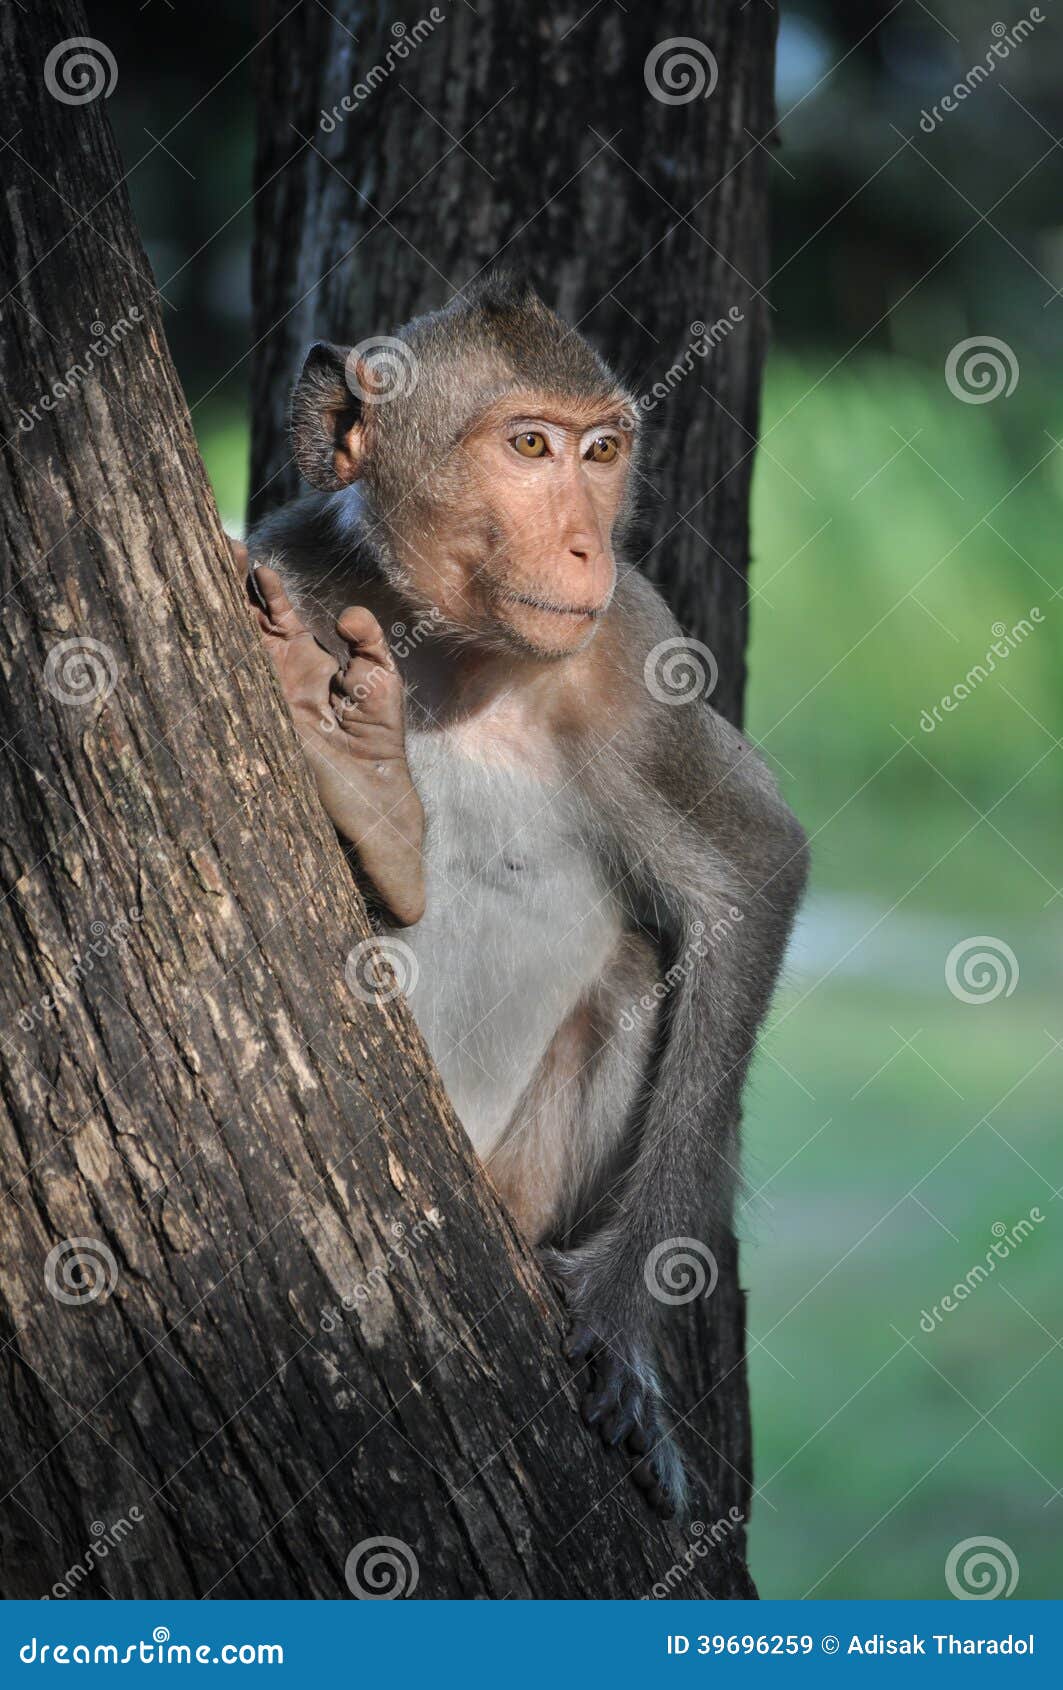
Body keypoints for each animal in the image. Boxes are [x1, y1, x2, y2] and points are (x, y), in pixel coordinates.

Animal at [240, 273, 808, 1518]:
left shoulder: (634, 659)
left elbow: (753, 873)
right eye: (529, 446)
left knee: (638, 974)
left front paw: (622, 1323)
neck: (450, 652)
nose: (587, 542)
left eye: (601, 450)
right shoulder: (276, 563)